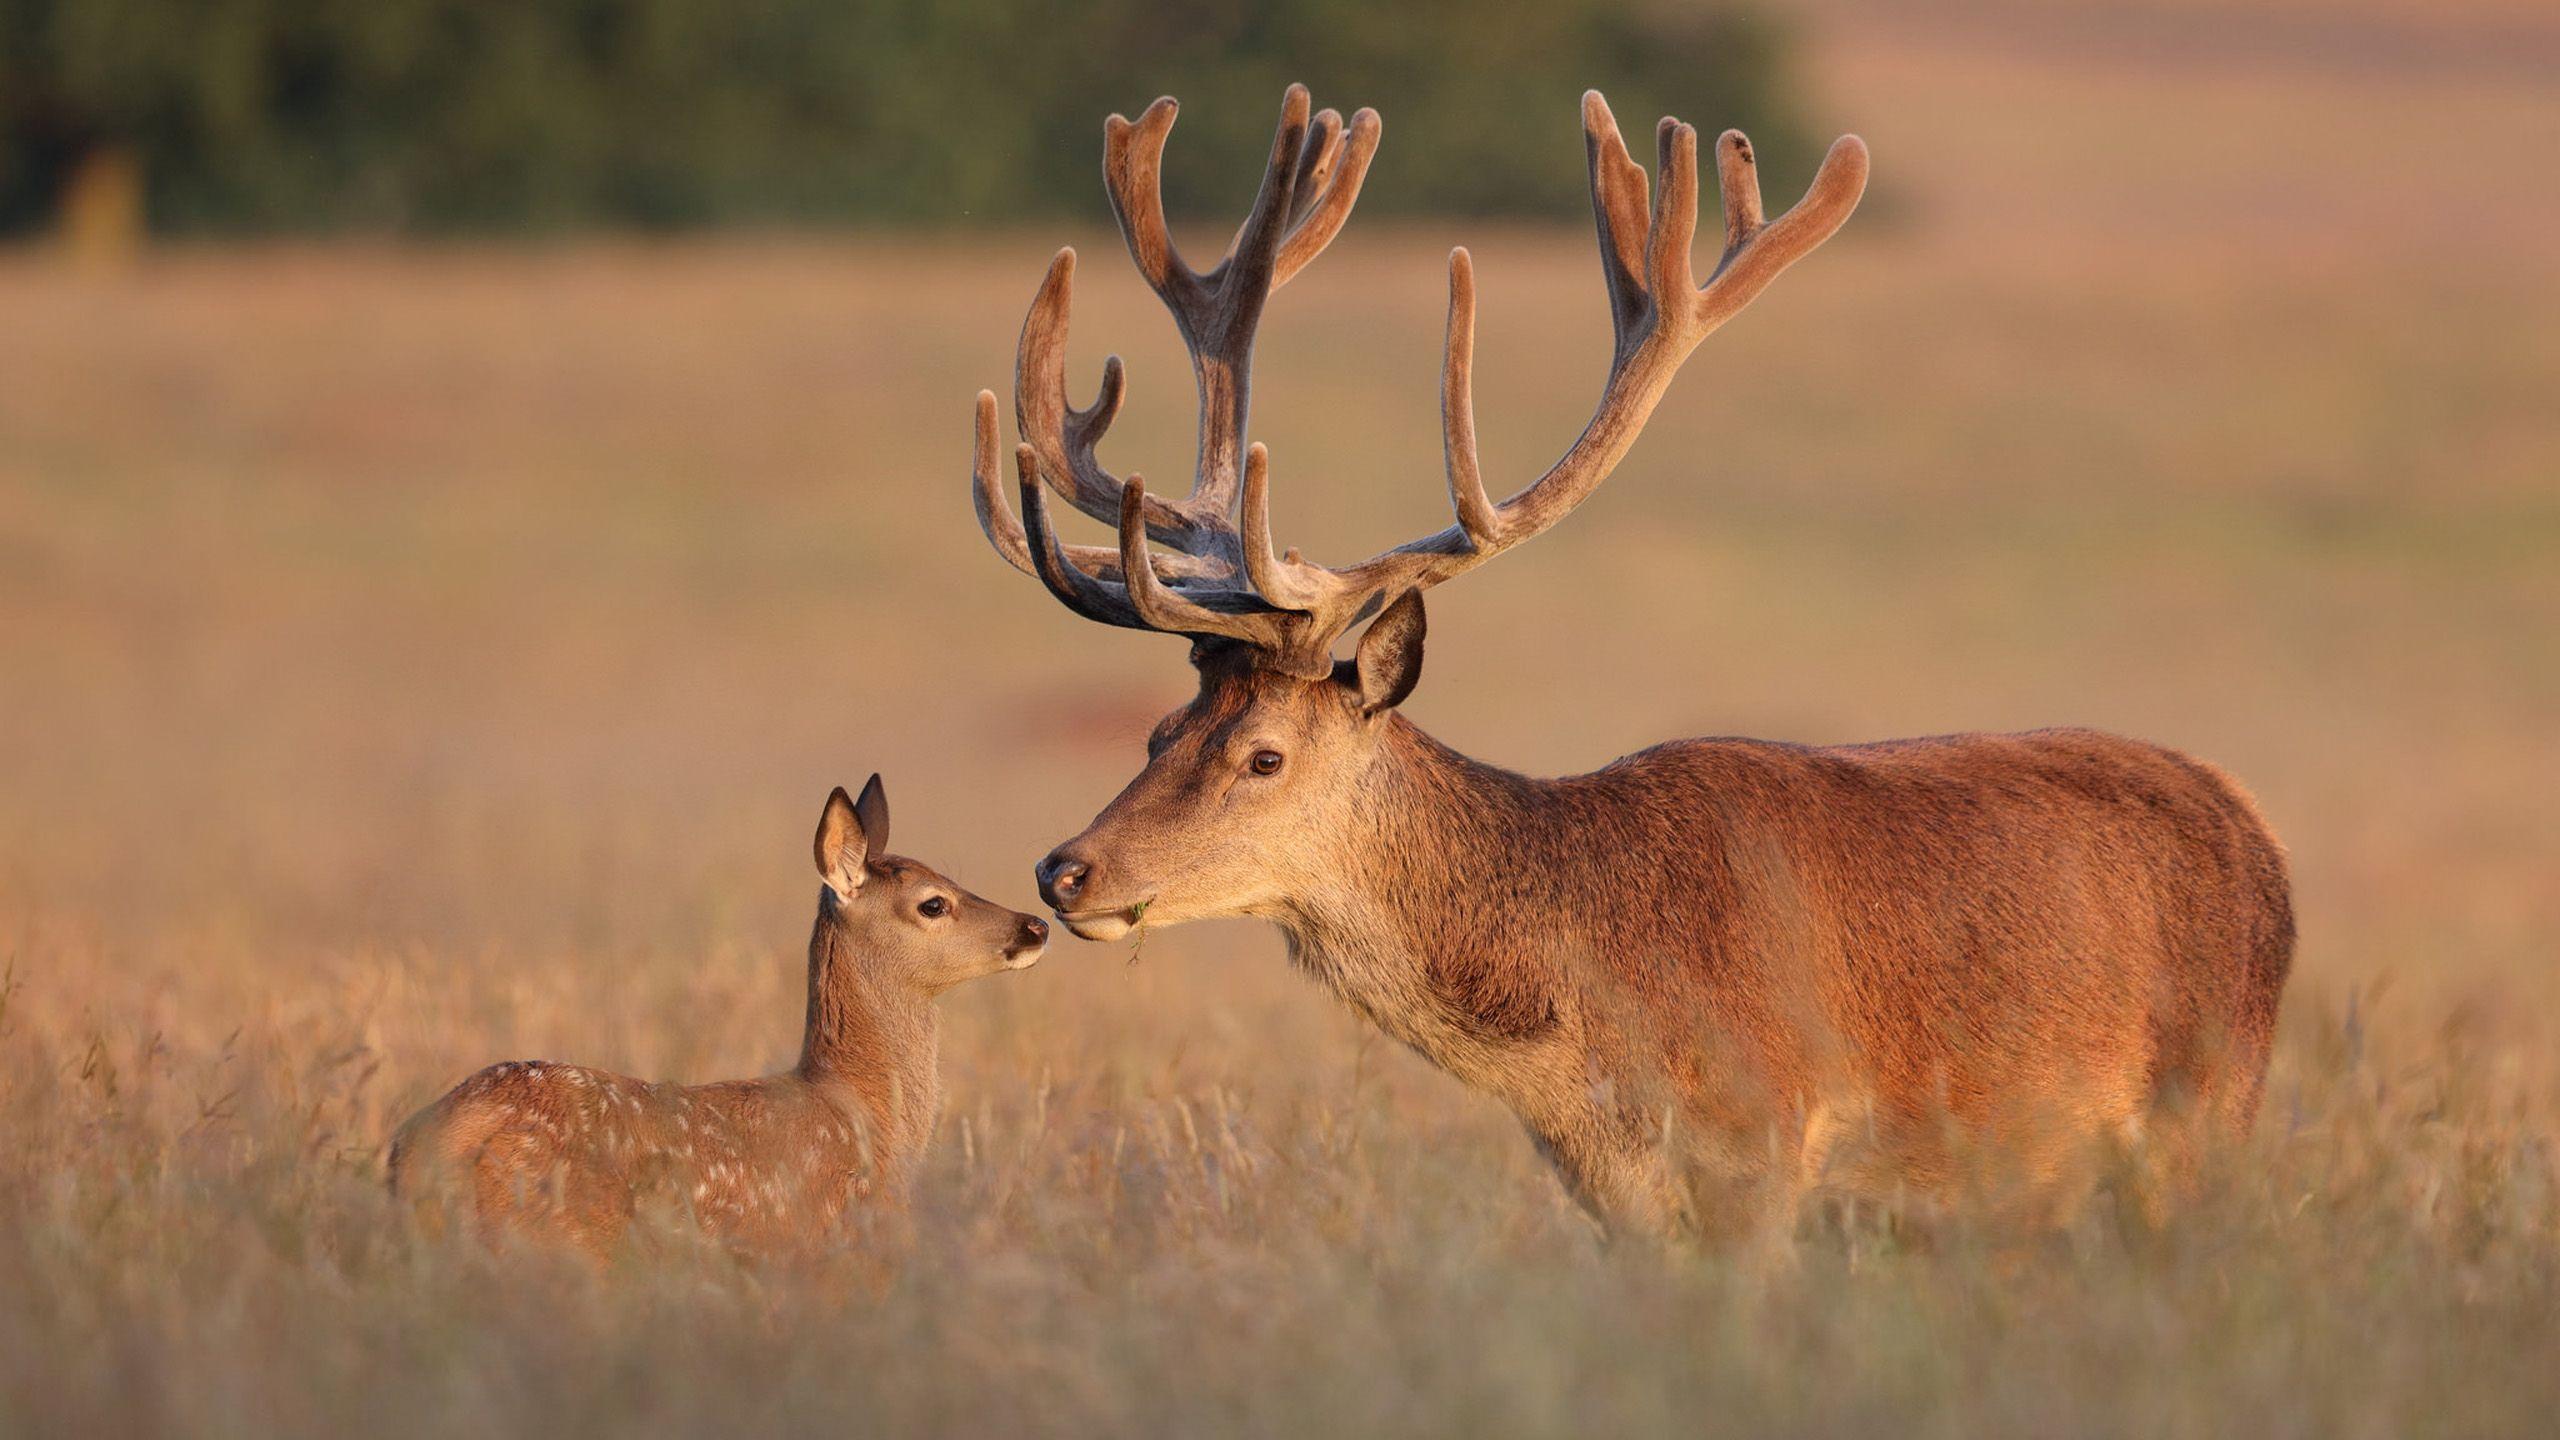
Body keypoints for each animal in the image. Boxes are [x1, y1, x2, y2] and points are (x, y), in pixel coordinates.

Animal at [965, 86, 2295, 1240]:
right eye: (1156, 732)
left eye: (1264, 755)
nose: (1065, 869)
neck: (1588, 1040)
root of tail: (2254, 828)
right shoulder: (1611, 1194)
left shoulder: (1772, 1139)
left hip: (2208, 1108)